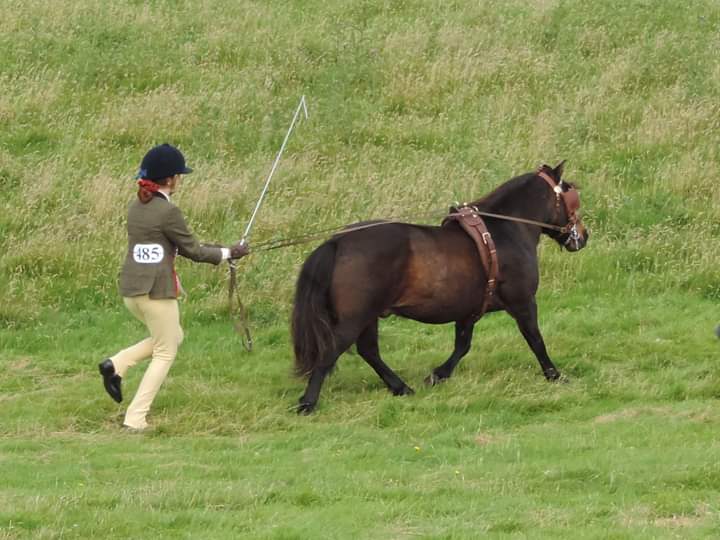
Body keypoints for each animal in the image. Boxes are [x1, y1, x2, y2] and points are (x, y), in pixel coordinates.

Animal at [291, 162, 588, 414]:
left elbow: (462, 346)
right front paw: (554, 375)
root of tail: (338, 241)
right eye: (571, 195)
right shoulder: (523, 301)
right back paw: (308, 403)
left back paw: (400, 387)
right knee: (332, 351)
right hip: (356, 317)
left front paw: (437, 375)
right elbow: (535, 339)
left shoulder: (469, 311)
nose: (583, 236)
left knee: (369, 350)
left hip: (368, 315)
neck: (505, 231)